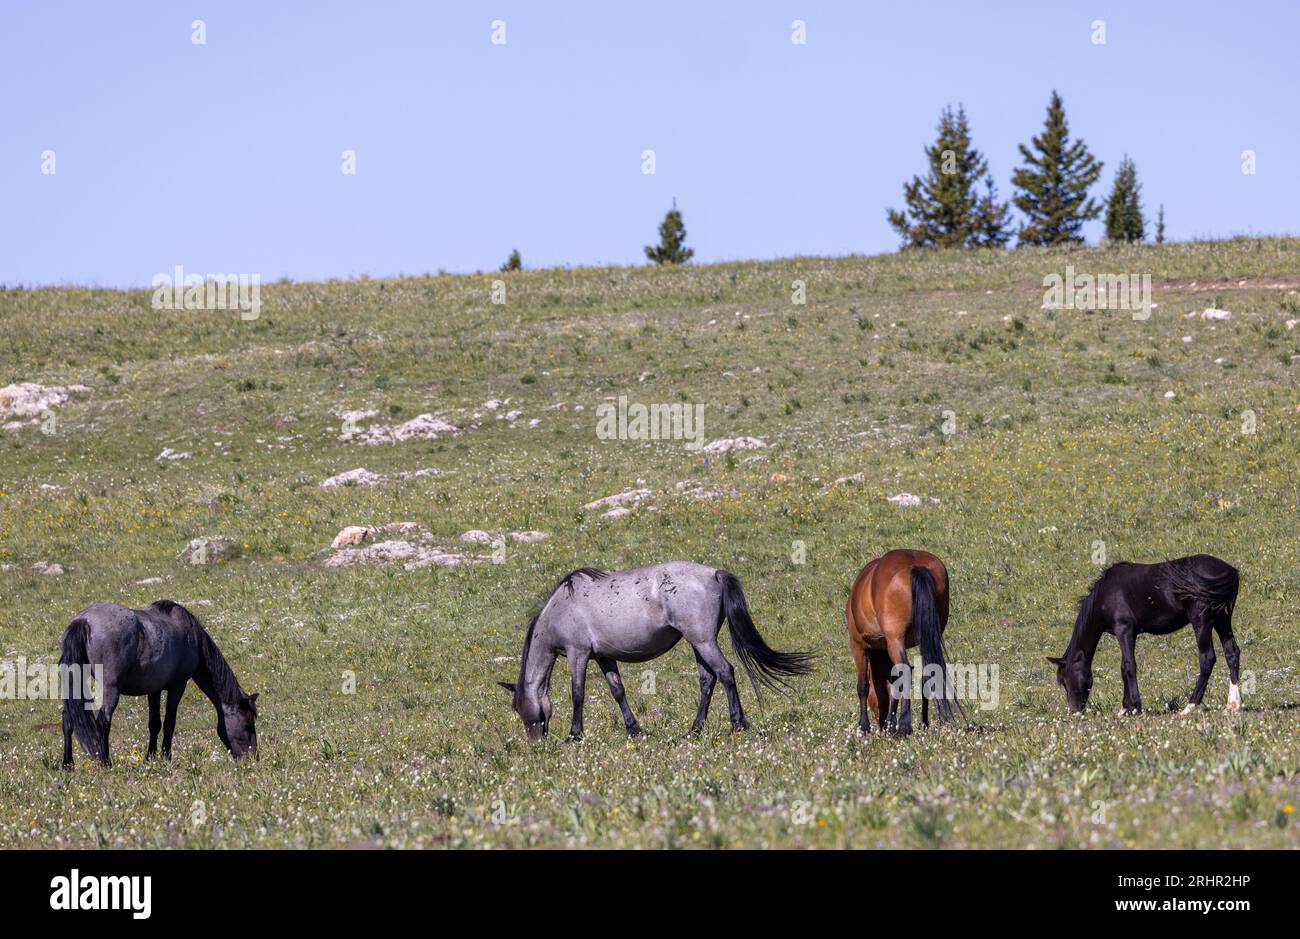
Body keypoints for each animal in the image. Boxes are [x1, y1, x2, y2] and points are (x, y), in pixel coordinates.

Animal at [58, 599, 259, 769]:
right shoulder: (178, 685)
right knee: (103, 721)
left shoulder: (153, 690)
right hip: (110, 688)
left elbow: (154, 723)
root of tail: (84, 620)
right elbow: (170, 721)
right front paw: (166, 756)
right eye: (248, 724)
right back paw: (105, 762)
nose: (253, 758)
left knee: (68, 720)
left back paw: (68, 764)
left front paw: (151, 757)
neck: (191, 635)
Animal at [496, 562, 813, 740]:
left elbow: (578, 694)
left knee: (725, 672)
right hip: (698, 643)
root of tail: (714, 573)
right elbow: (617, 691)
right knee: (707, 680)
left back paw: (737, 724)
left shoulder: (578, 653)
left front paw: (575, 735)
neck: (560, 609)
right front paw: (634, 730)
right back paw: (693, 731)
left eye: (522, 710)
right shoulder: (604, 657)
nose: (536, 745)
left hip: (703, 641)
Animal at [846, 548, 959, 735]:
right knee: (927, 673)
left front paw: (864, 726)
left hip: (895, 640)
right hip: (927, 637)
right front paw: (891, 724)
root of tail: (915, 565)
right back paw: (923, 723)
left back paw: (905, 725)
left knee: (905, 672)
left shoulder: (859, 646)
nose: (881, 724)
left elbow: (863, 686)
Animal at [1048, 554, 1241, 715]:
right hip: (1222, 620)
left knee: (1207, 658)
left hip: (1201, 621)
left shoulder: (1123, 630)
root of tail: (1230, 571)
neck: (1105, 593)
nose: (1074, 712)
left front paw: (1133, 707)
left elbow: (1128, 666)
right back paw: (1233, 704)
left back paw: (1190, 706)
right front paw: (1125, 707)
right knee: (1232, 653)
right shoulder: (1131, 634)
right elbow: (1124, 668)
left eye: (1065, 680)